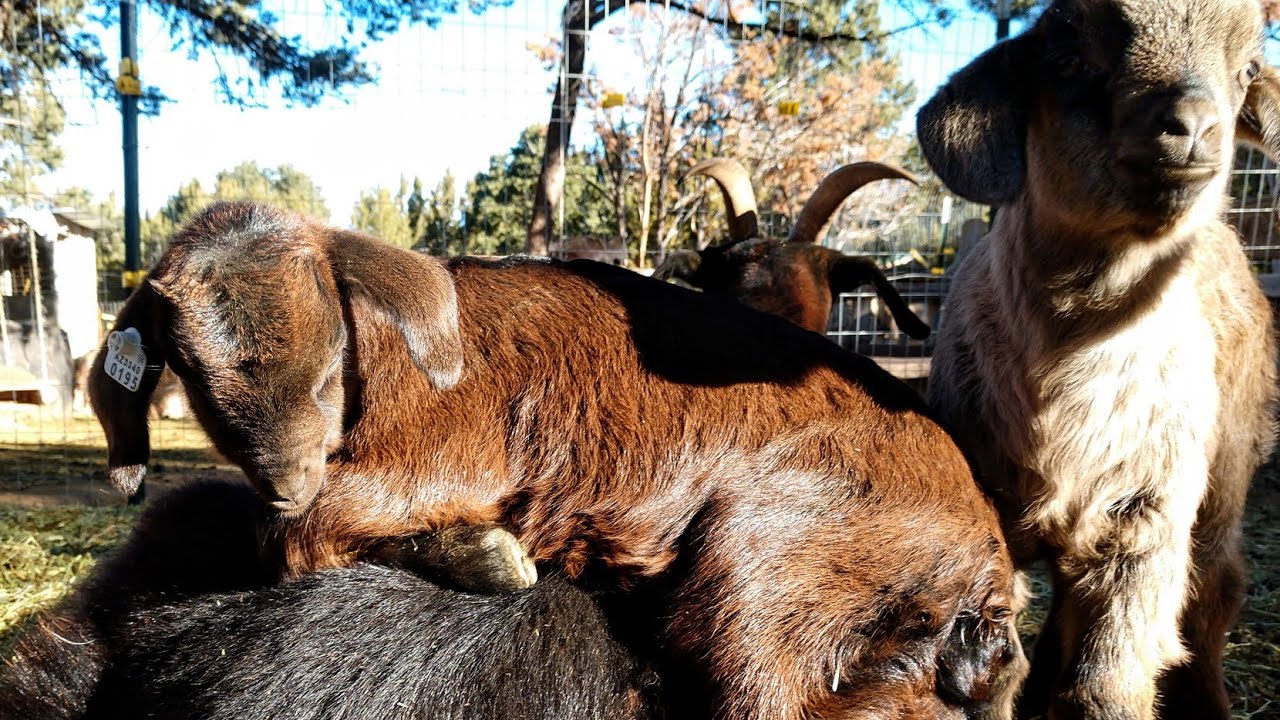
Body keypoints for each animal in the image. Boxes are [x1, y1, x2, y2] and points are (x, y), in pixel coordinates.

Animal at [88, 200, 1019, 719]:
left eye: (325, 373)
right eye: (194, 382)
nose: (286, 480)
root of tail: (992, 580)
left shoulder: (452, 451)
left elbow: (297, 537)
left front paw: (482, 554)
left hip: (769, 557)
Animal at [918, 1, 1280, 718]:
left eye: (1249, 69)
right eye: (1066, 58)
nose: (1195, 126)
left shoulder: (1152, 514)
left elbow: (1109, 683)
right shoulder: (987, 509)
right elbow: (997, 665)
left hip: (1226, 473)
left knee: (1216, 590)